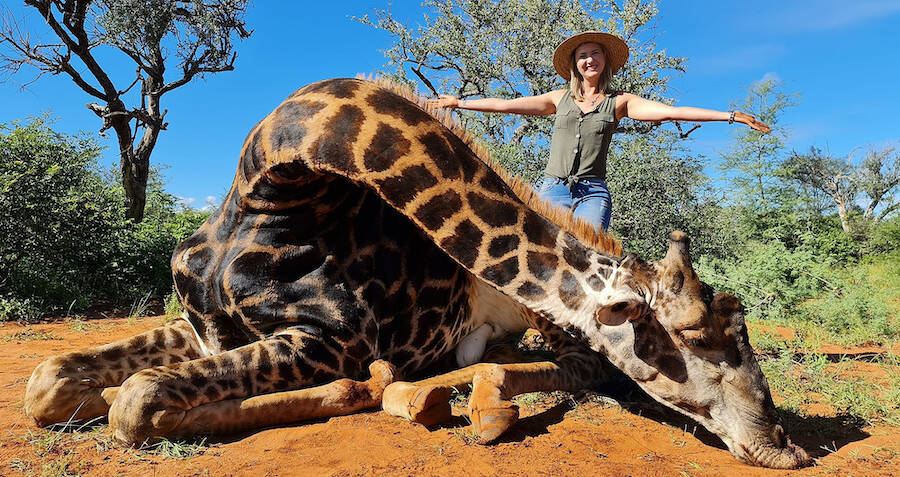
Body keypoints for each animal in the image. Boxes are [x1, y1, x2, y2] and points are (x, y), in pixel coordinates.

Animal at [23, 78, 810, 469]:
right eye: (700, 339)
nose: (786, 447)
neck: (270, 189)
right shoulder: (200, 326)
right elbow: (49, 383)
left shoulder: (327, 341)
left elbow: (136, 401)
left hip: (541, 326)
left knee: (579, 367)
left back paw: (456, 400)